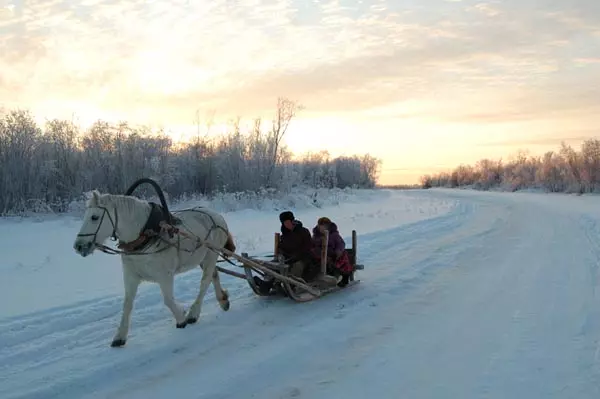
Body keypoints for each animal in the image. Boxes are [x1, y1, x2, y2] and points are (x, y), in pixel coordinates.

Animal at [72, 191, 237, 346]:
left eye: (94, 217)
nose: (78, 246)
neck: (146, 235)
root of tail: (217, 215)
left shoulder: (165, 276)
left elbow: (168, 300)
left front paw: (181, 316)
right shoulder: (130, 276)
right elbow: (127, 304)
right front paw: (120, 336)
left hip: (211, 255)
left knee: (205, 282)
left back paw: (193, 313)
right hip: (202, 258)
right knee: (213, 275)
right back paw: (222, 300)